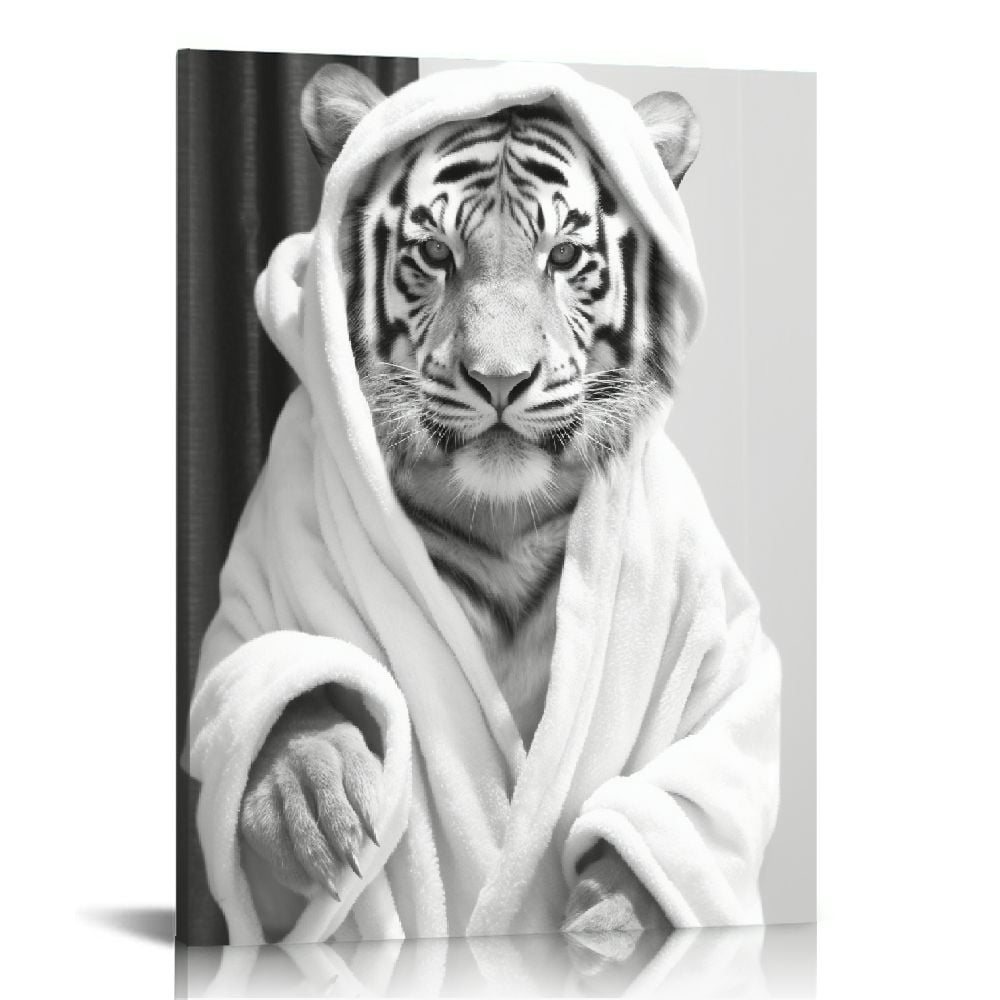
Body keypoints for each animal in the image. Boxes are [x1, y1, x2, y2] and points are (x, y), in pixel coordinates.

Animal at [238, 63, 702, 943]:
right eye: (434, 253)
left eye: (564, 255)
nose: (499, 379)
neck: (506, 517)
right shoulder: (270, 572)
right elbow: (279, 681)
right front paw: (308, 792)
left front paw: (613, 908)